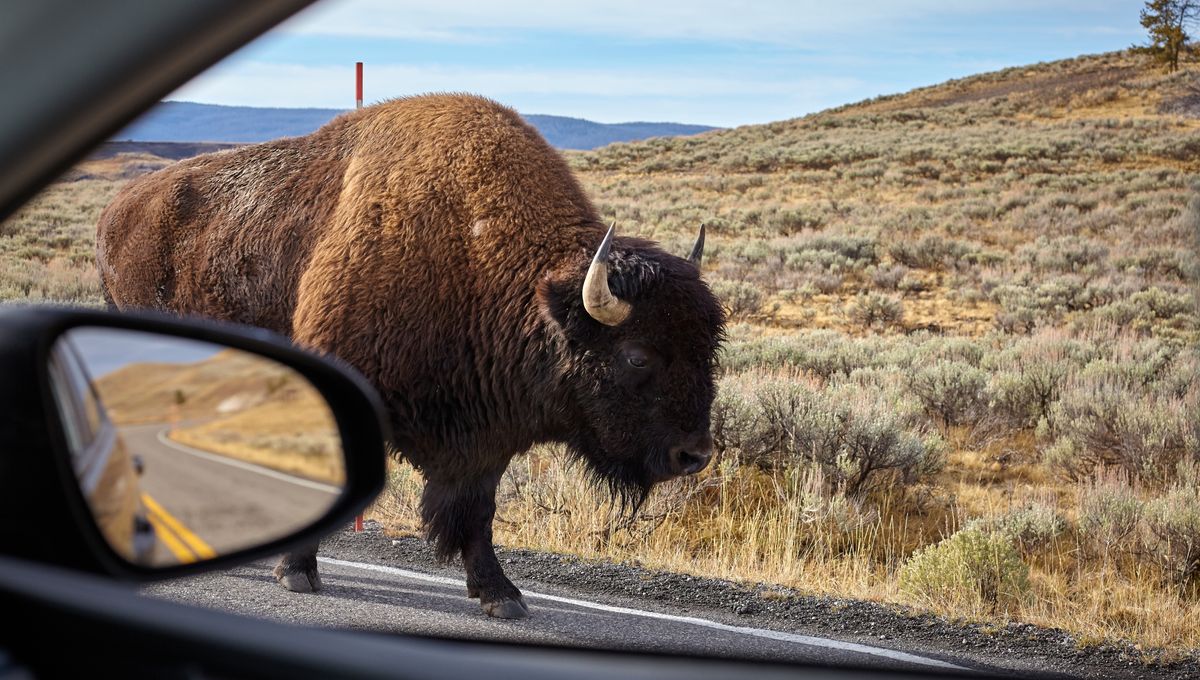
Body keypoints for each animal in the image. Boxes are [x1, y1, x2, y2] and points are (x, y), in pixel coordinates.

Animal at [96, 94, 725, 618]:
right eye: (638, 356)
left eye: (710, 347)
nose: (694, 455)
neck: (474, 252)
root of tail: (116, 209)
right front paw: (297, 573)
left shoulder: (484, 433)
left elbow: (476, 511)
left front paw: (500, 595)